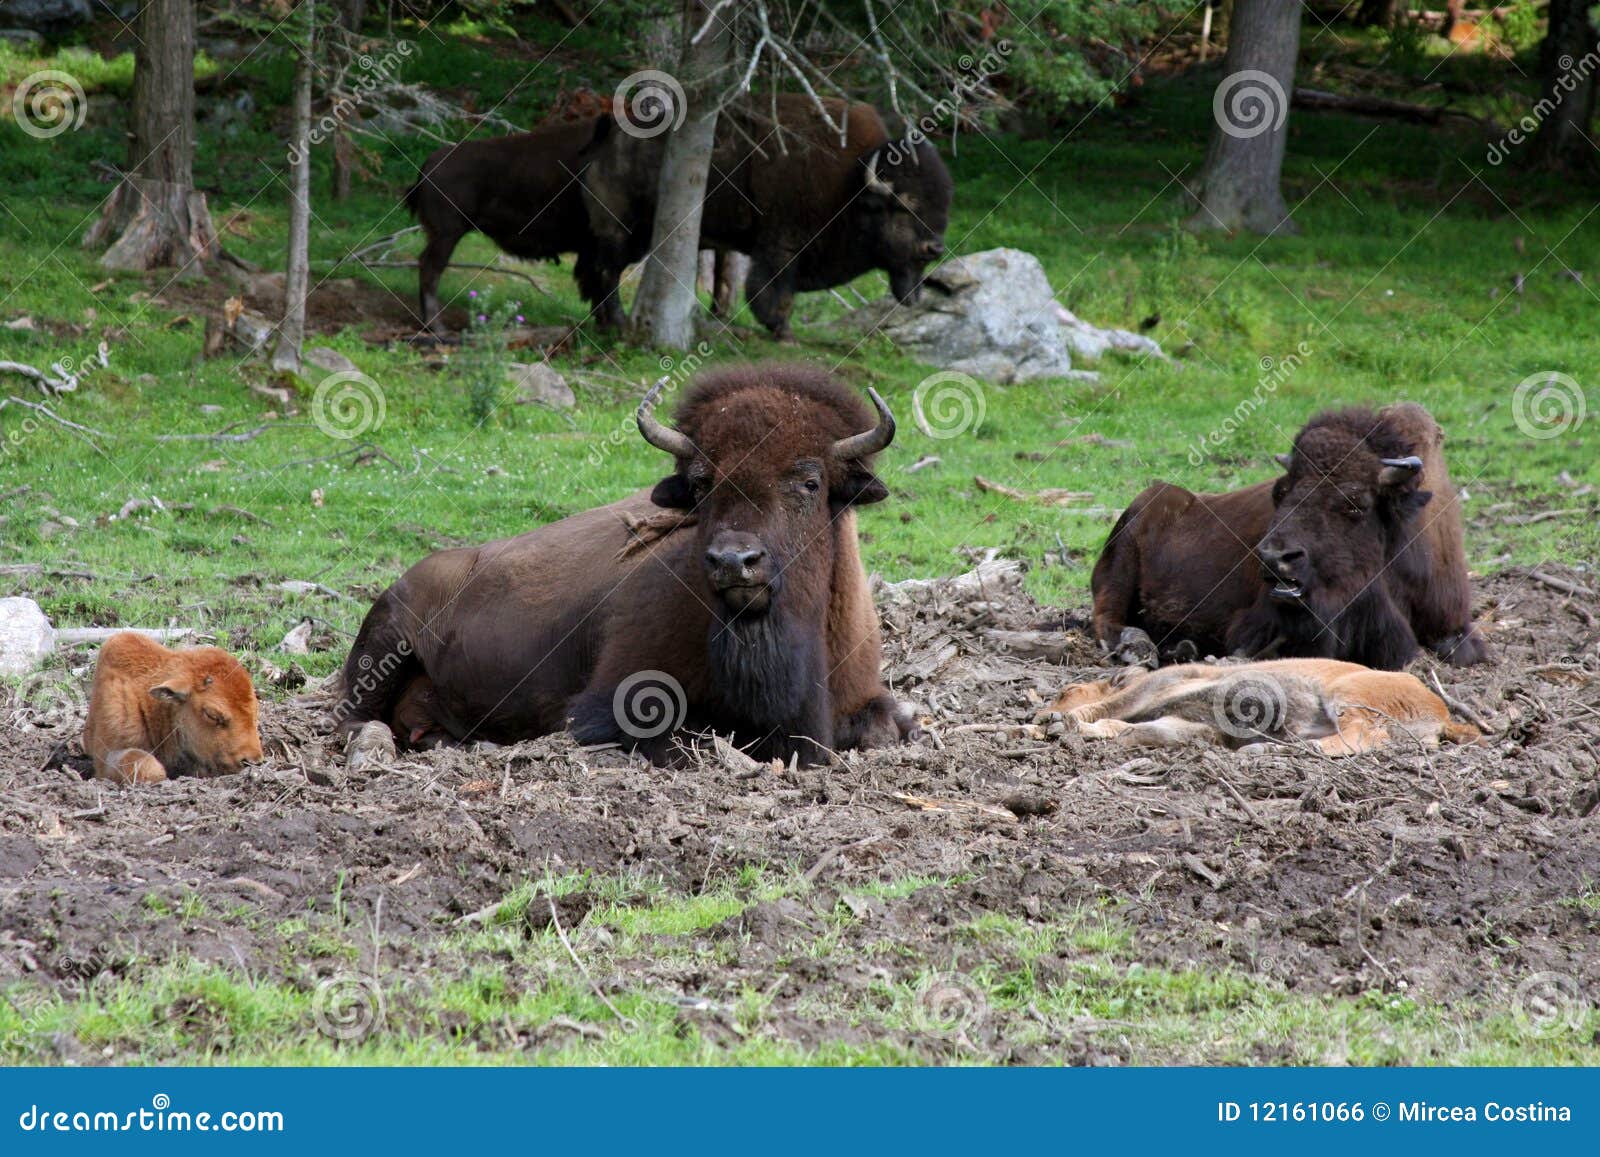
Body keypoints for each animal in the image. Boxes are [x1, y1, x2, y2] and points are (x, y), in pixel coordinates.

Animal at [334, 363, 913, 765]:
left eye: (810, 482)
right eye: (701, 484)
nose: (734, 561)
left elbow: (892, 724)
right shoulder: (610, 704)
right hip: (385, 642)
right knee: (351, 716)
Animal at [579, 94, 952, 340]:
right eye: (905, 206)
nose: (935, 248)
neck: (850, 183)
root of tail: (611, 132)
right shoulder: (781, 246)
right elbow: (772, 291)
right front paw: (783, 331)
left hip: (634, 235)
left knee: (597, 269)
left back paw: (602, 322)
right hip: (620, 228)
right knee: (607, 270)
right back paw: (615, 322)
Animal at [1091, 404, 1489, 671]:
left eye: (1355, 503)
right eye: (1280, 492)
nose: (1275, 558)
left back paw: (1180, 647)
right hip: (1121, 560)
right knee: (1107, 616)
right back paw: (1141, 647)